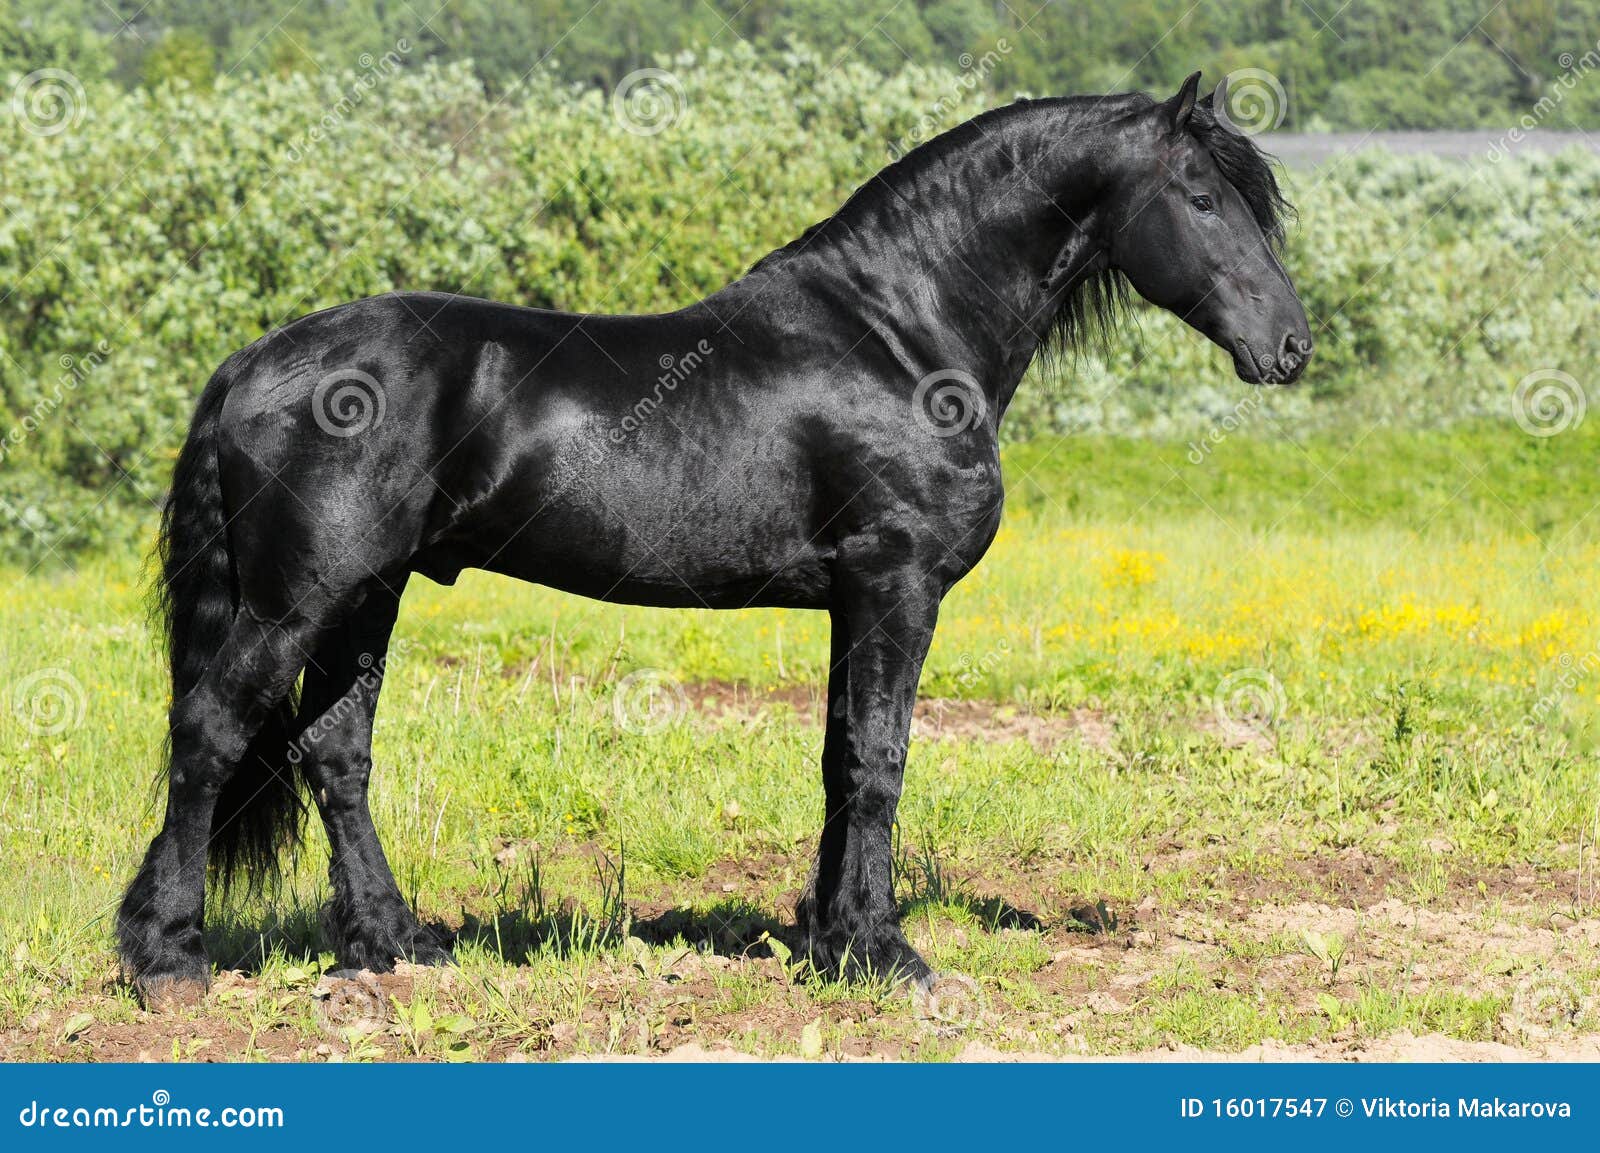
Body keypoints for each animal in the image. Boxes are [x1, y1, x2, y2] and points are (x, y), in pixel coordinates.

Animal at [117, 72, 1311, 1002]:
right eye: (1201, 196)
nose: (1291, 346)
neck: (900, 332)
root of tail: (254, 362)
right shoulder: (896, 584)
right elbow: (879, 760)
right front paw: (889, 956)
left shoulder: (852, 598)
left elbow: (838, 757)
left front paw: (832, 940)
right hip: (299, 598)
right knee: (211, 731)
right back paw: (169, 957)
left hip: (367, 593)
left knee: (334, 752)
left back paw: (392, 943)